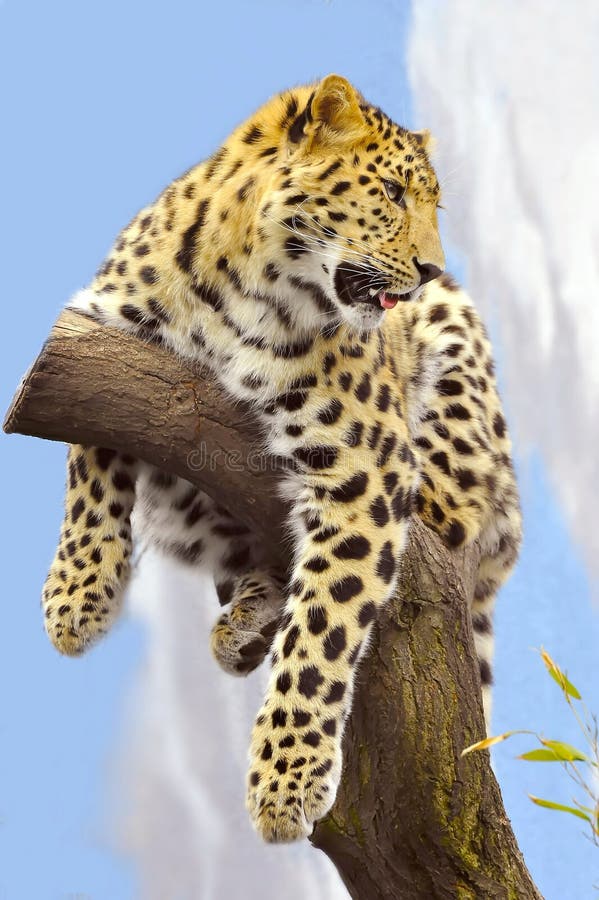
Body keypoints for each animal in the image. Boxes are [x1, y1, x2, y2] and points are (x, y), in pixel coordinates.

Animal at [41, 74, 521, 843]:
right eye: (392, 192)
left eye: (430, 204)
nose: (431, 268)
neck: (245, 280)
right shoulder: (92, 338)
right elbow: (90, 458)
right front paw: (77, 597)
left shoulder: (364, 467)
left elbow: (324, 628)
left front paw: (285, 781)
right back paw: (244, 621)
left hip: (459, 360)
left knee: (458, 507)